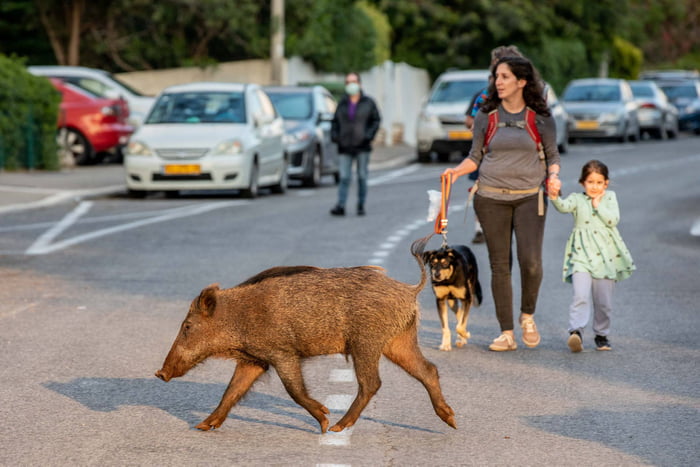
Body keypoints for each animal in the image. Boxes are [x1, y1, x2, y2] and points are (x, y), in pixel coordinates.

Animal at [155, 235, 456, 433]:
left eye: (187, 326)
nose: (160, 373)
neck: (239, 319)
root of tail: (409, 290)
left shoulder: (283, 353)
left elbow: (294, 390)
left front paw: (323, 418)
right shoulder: (254, 360)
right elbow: (231, 391)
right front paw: (202, 426)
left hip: (366, 342)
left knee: (372, 383)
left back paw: (337, 427)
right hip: (398, 341)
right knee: (428, 370)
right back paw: (451, 420)